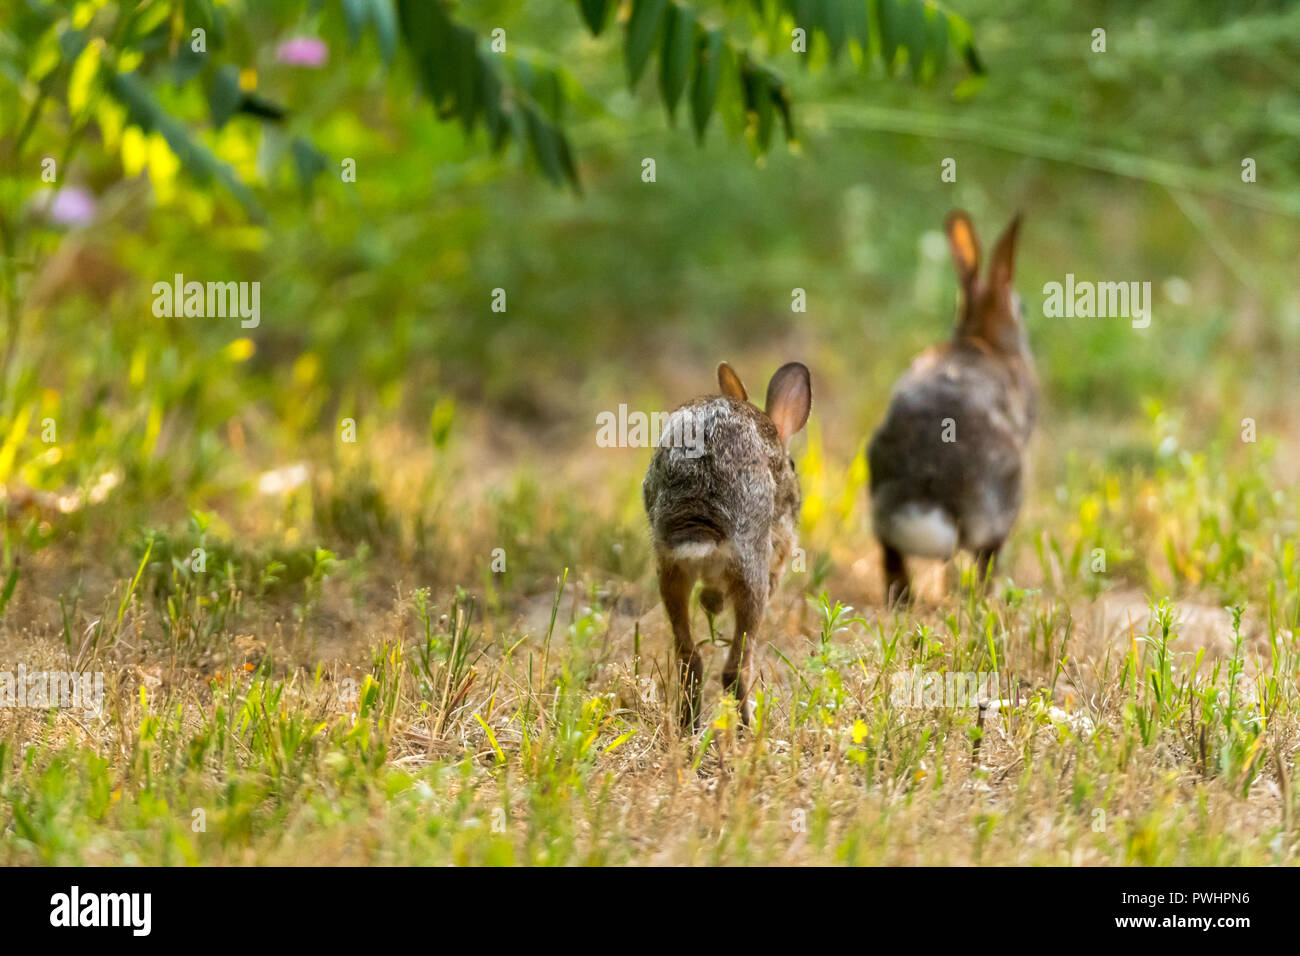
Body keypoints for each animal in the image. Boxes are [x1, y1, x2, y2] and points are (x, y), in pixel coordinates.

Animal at [643, 361, 812, 732]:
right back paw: (748, 728)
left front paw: (711, 603)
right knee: (735, 669)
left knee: (689, 660)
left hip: (669, 571)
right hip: (751, 570)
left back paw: (688, 728)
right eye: (793, 466)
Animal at [868, 210, 1037, 604]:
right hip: (1002, 501)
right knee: (986, 559)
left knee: (891, 558)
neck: (984, 339)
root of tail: (928, 496)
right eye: (1021, 308)